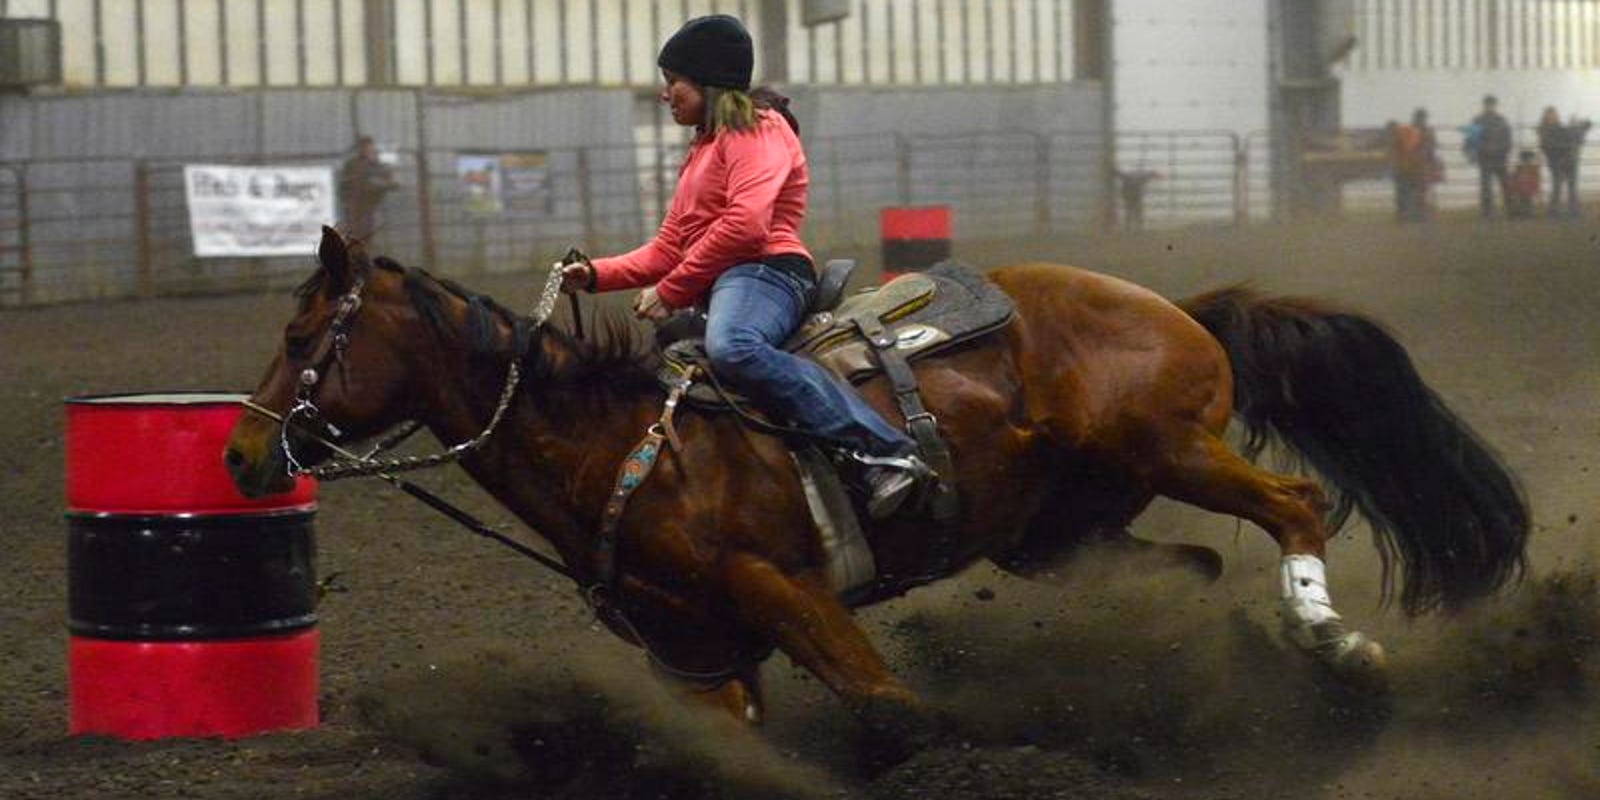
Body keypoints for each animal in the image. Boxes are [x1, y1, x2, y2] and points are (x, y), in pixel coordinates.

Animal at [225, 229, 1527, 741]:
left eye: (299, 334)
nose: (240, 455)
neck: (620, 444)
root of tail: (1175, 303)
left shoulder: (788, 590)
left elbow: (889, 704)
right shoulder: (703, 658)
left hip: (1170, 448)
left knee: (1295, 508)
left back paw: (1335, 648)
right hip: (1055, 530)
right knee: (1197, 562)